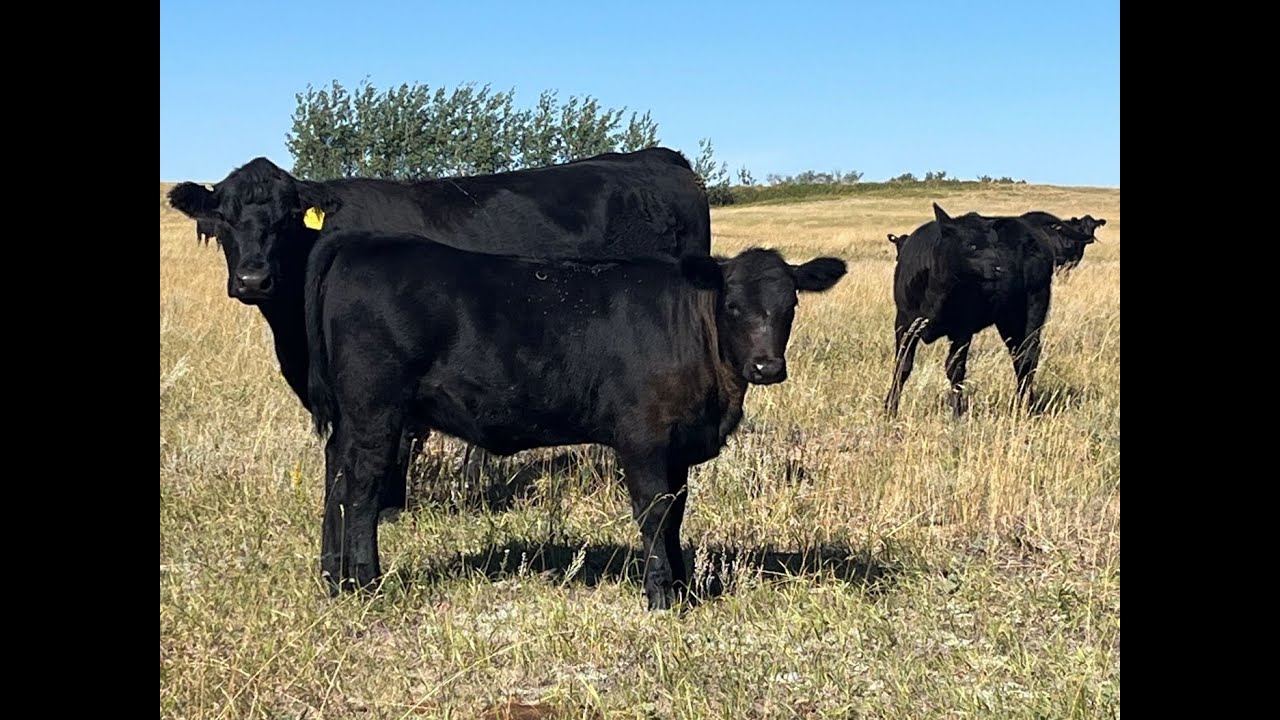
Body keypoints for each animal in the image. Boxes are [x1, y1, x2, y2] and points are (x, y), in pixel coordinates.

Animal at [165, 147, 712, 516]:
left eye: (286, 219)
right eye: (223, 219)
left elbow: (400, 439)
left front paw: (389, 506)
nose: (253, 279)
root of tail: (658, 156)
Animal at [303, 232, 847, 609]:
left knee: (336, 477)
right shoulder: (643, 437)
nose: (767, 367)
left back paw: (333, 577)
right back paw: (367, 582)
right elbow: (654, 513)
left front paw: (684, 586)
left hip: (353, 419)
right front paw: (661, 596)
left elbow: (676, 512)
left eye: (790, 305)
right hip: (376, 410)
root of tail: (362, 241)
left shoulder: (678, 446)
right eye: (731, 305)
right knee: (363, 488)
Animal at [883, 203, 1054, 418]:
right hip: (1008, 320)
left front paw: (957, 413)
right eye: (971, 245)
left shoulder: (962, 329)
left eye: (994, 244)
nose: (1000, 268)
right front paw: (890, 410)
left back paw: (1026, 408)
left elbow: (955, 369)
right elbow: (902, 365)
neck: (937, 291)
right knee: (1019, 356)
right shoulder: (904, 323)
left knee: (1028, 357)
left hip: (1034, 308)